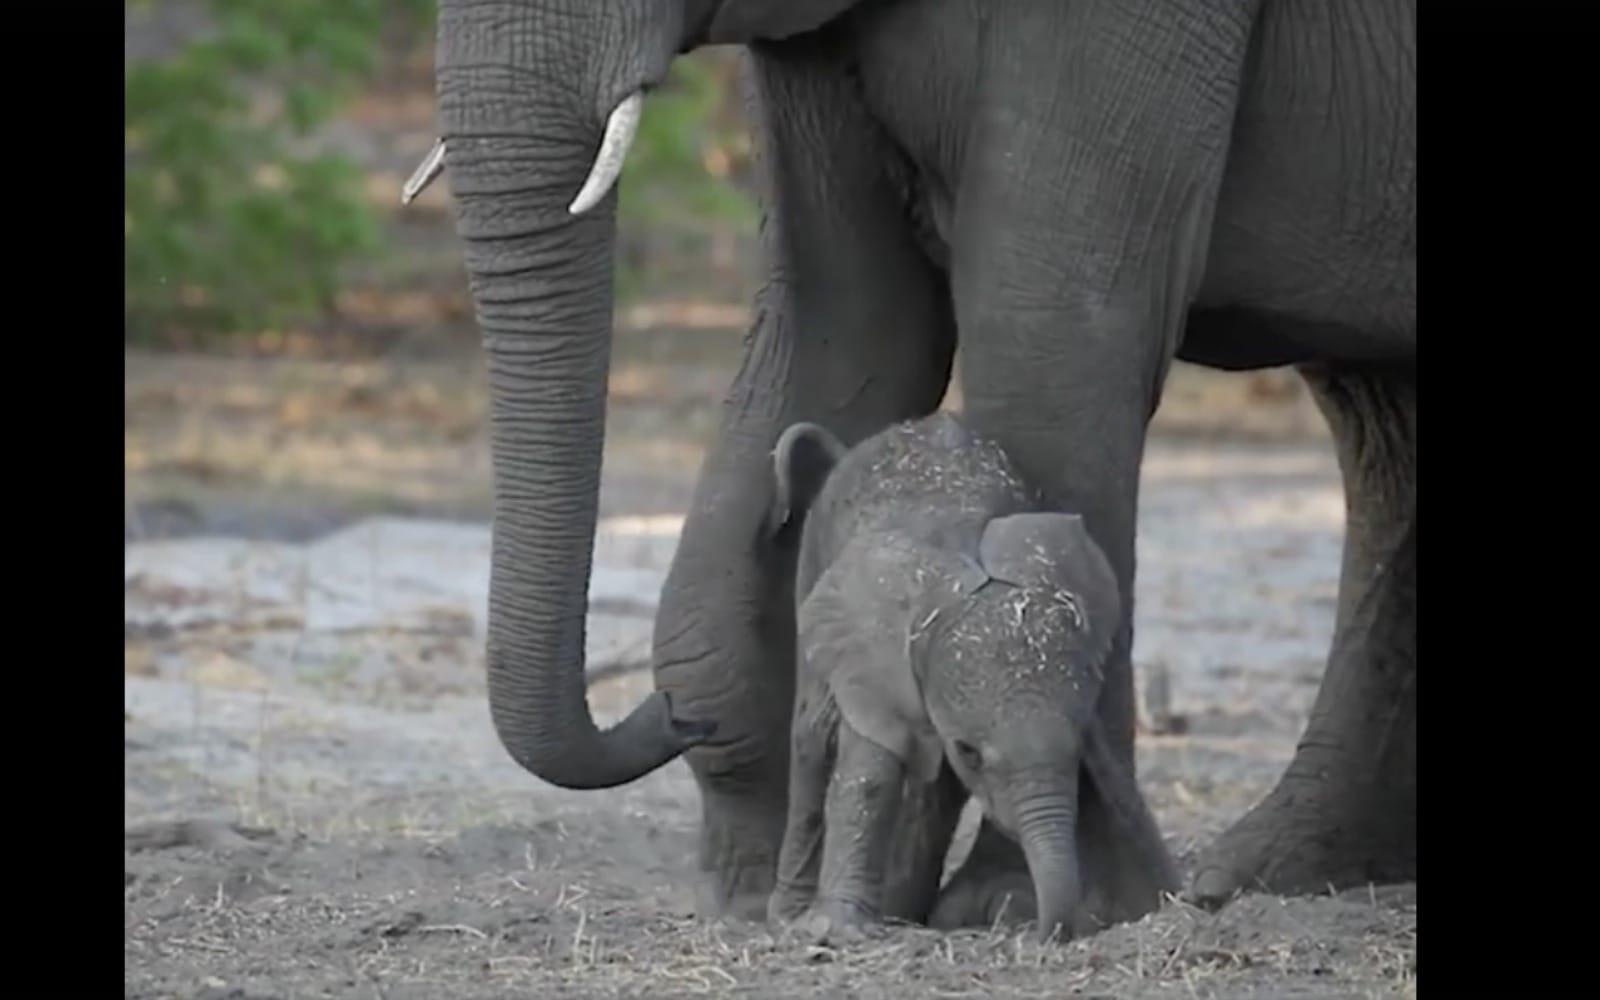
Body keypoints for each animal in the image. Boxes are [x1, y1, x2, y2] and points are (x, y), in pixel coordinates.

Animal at [763, 413, 1180, 942]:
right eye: (971, 753)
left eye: (1077, 749)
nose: (1039, 933)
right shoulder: (876, 653)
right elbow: (871, 768)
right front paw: (839, 931)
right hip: (816, 557)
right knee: (812, 737)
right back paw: (791, 915)